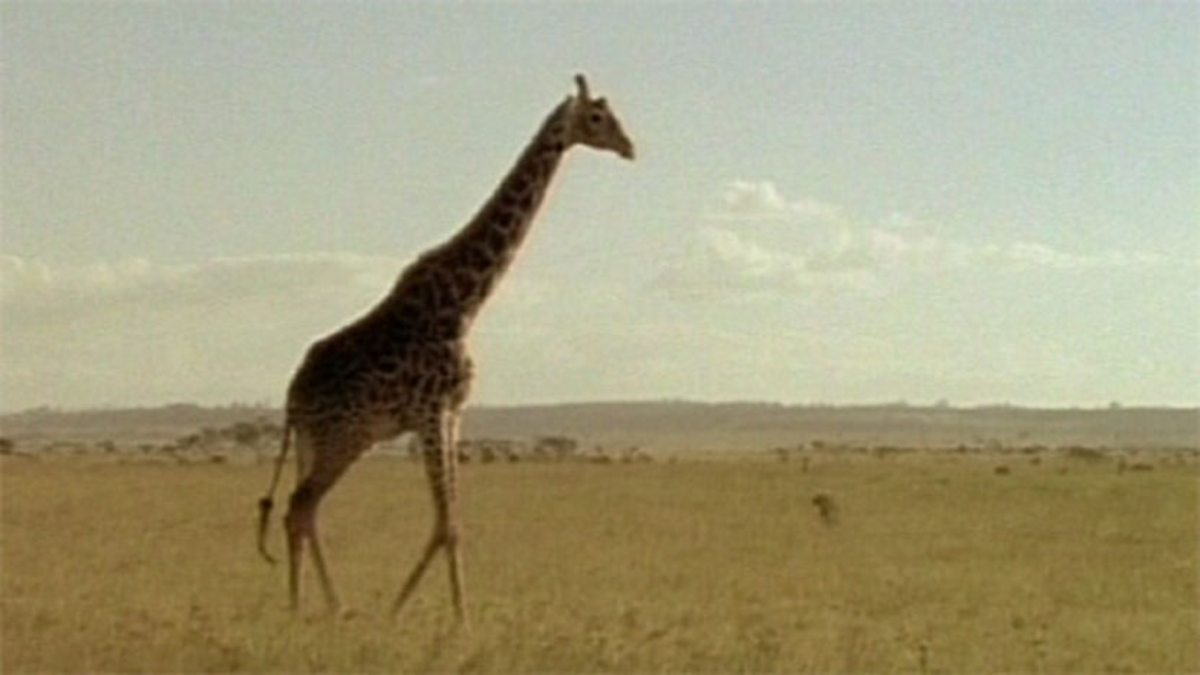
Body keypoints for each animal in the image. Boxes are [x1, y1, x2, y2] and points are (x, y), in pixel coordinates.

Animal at [256, 74, 635, 621]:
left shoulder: (453, 414)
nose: (630, 147)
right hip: (341, 436)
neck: (466, 301)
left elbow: (449, 522)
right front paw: (451, 619)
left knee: (302, 510)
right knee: (300, 506)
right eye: (598, 117)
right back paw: (318, 606)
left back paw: (313, 606)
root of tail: (291, 395)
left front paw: (418, 609)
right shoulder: (432, 411)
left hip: (316, 440)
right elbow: (447, 525)